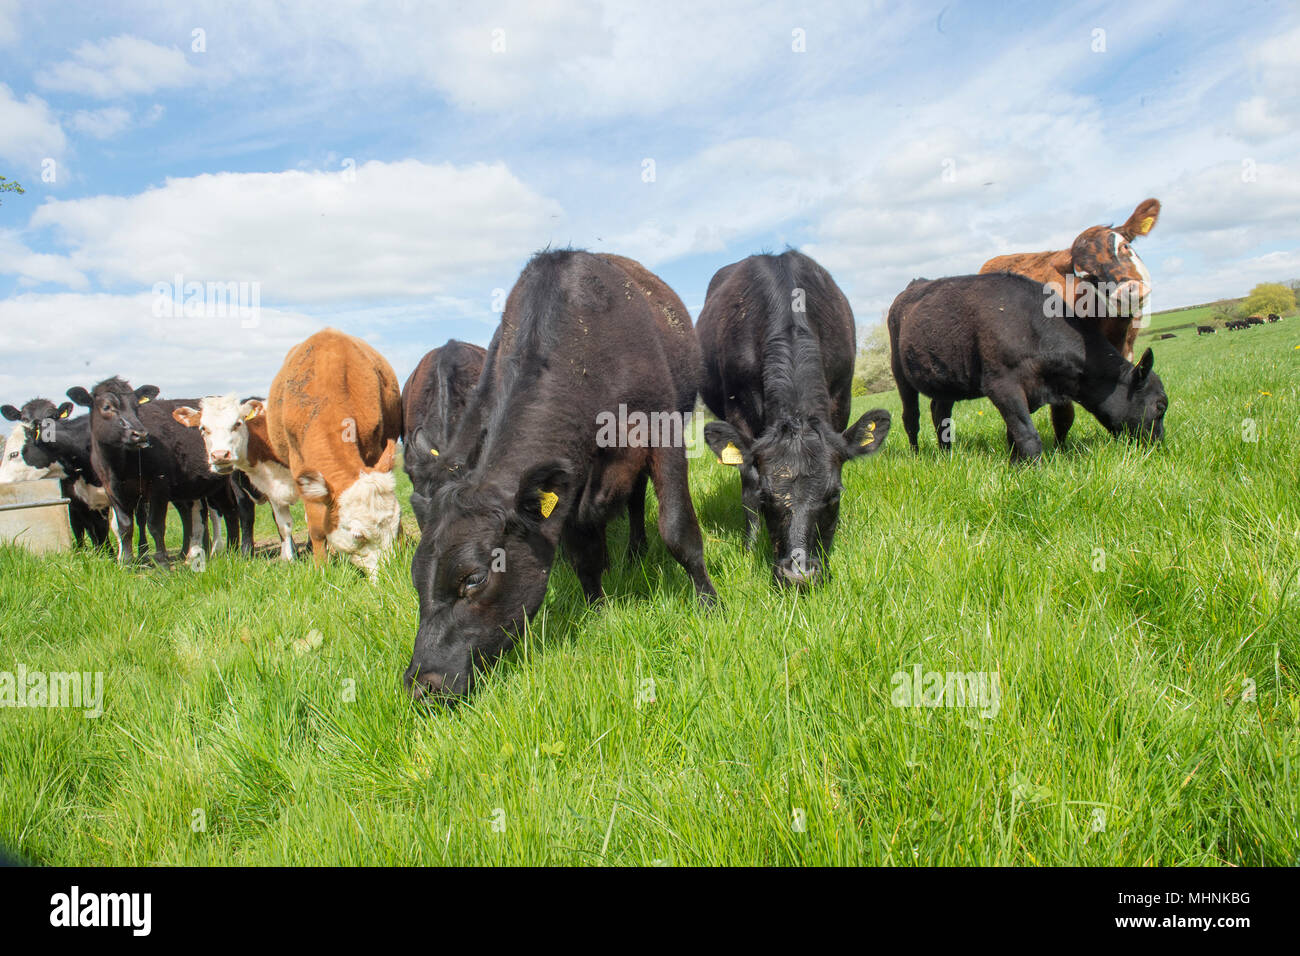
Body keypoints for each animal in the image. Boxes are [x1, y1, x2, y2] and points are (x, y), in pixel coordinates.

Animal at [169, 395, 296, 561]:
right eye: (203, 428)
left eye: (237, 423)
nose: (220, 455)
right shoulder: (270, 489)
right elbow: (281, 524)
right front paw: (288, 559)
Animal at [266, 325, 403, 580]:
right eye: (358, 535)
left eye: (397, 524)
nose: (391, 575)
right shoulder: (299, 465)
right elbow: (316, 525)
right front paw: (321, 568)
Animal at [889, 270, 1164, 463]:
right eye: (1160, 405)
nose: (1160, 445)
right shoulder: (1002, 384)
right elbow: (1027, 434)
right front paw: (1035, 472)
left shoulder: (1028, 391)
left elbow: (1014, 433)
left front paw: (1016, 467)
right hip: (899, 371)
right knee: (911, 417)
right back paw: (916, 455)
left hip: (946, 374)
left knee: (940, 413)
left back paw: (946, 454)